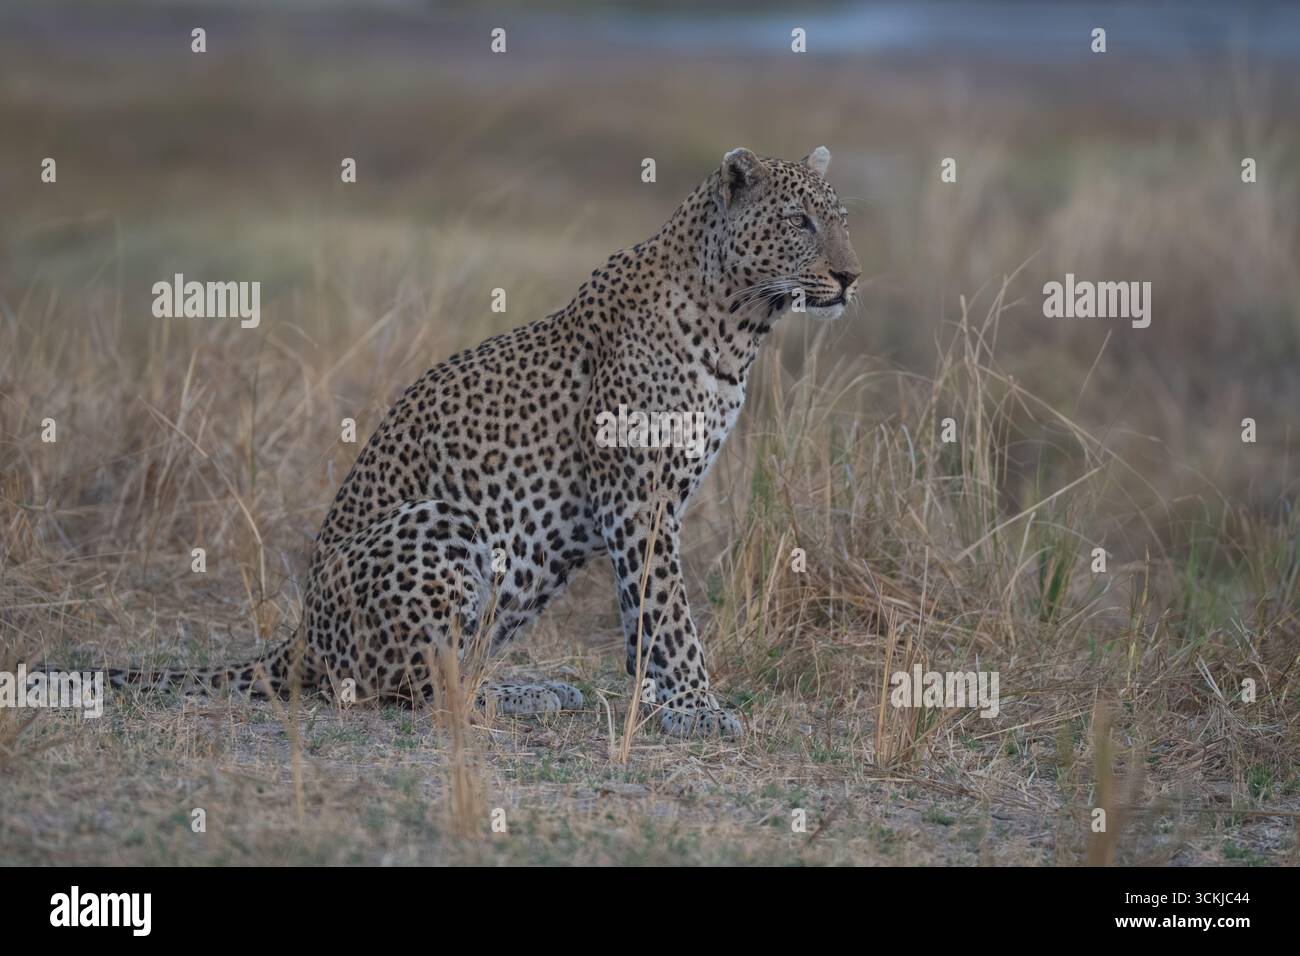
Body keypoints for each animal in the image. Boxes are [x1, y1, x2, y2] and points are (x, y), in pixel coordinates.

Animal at [66, 146, 861, 738]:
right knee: (416, 688)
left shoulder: (659, 499)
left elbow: (646, 610)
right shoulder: (640, 497)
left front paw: (665, 703)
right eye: (799, 221)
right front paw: (699, 705)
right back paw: (519, 698)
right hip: (446, 523)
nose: (852, 276)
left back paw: (539, 689)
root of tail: (300, 638)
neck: (739, 324)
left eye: (842, 219)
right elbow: (669, 609)